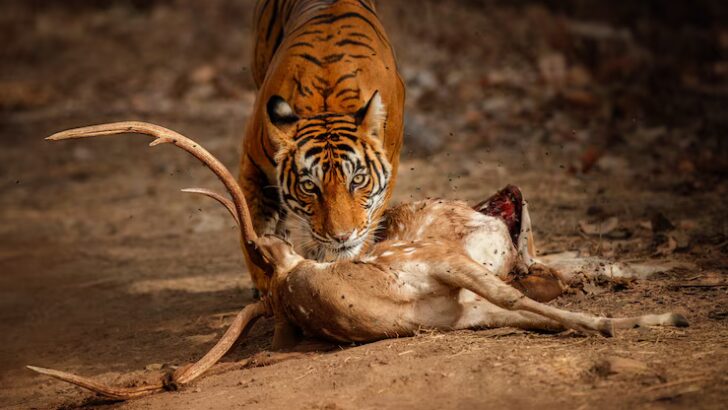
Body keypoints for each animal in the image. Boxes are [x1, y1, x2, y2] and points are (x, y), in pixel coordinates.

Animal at [238, 0, 405, 295]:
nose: (342, 237)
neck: (326, 104)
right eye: (309, 186)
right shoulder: (253, 163)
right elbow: (254, 225)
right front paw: (267, 276)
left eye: (357, 180)